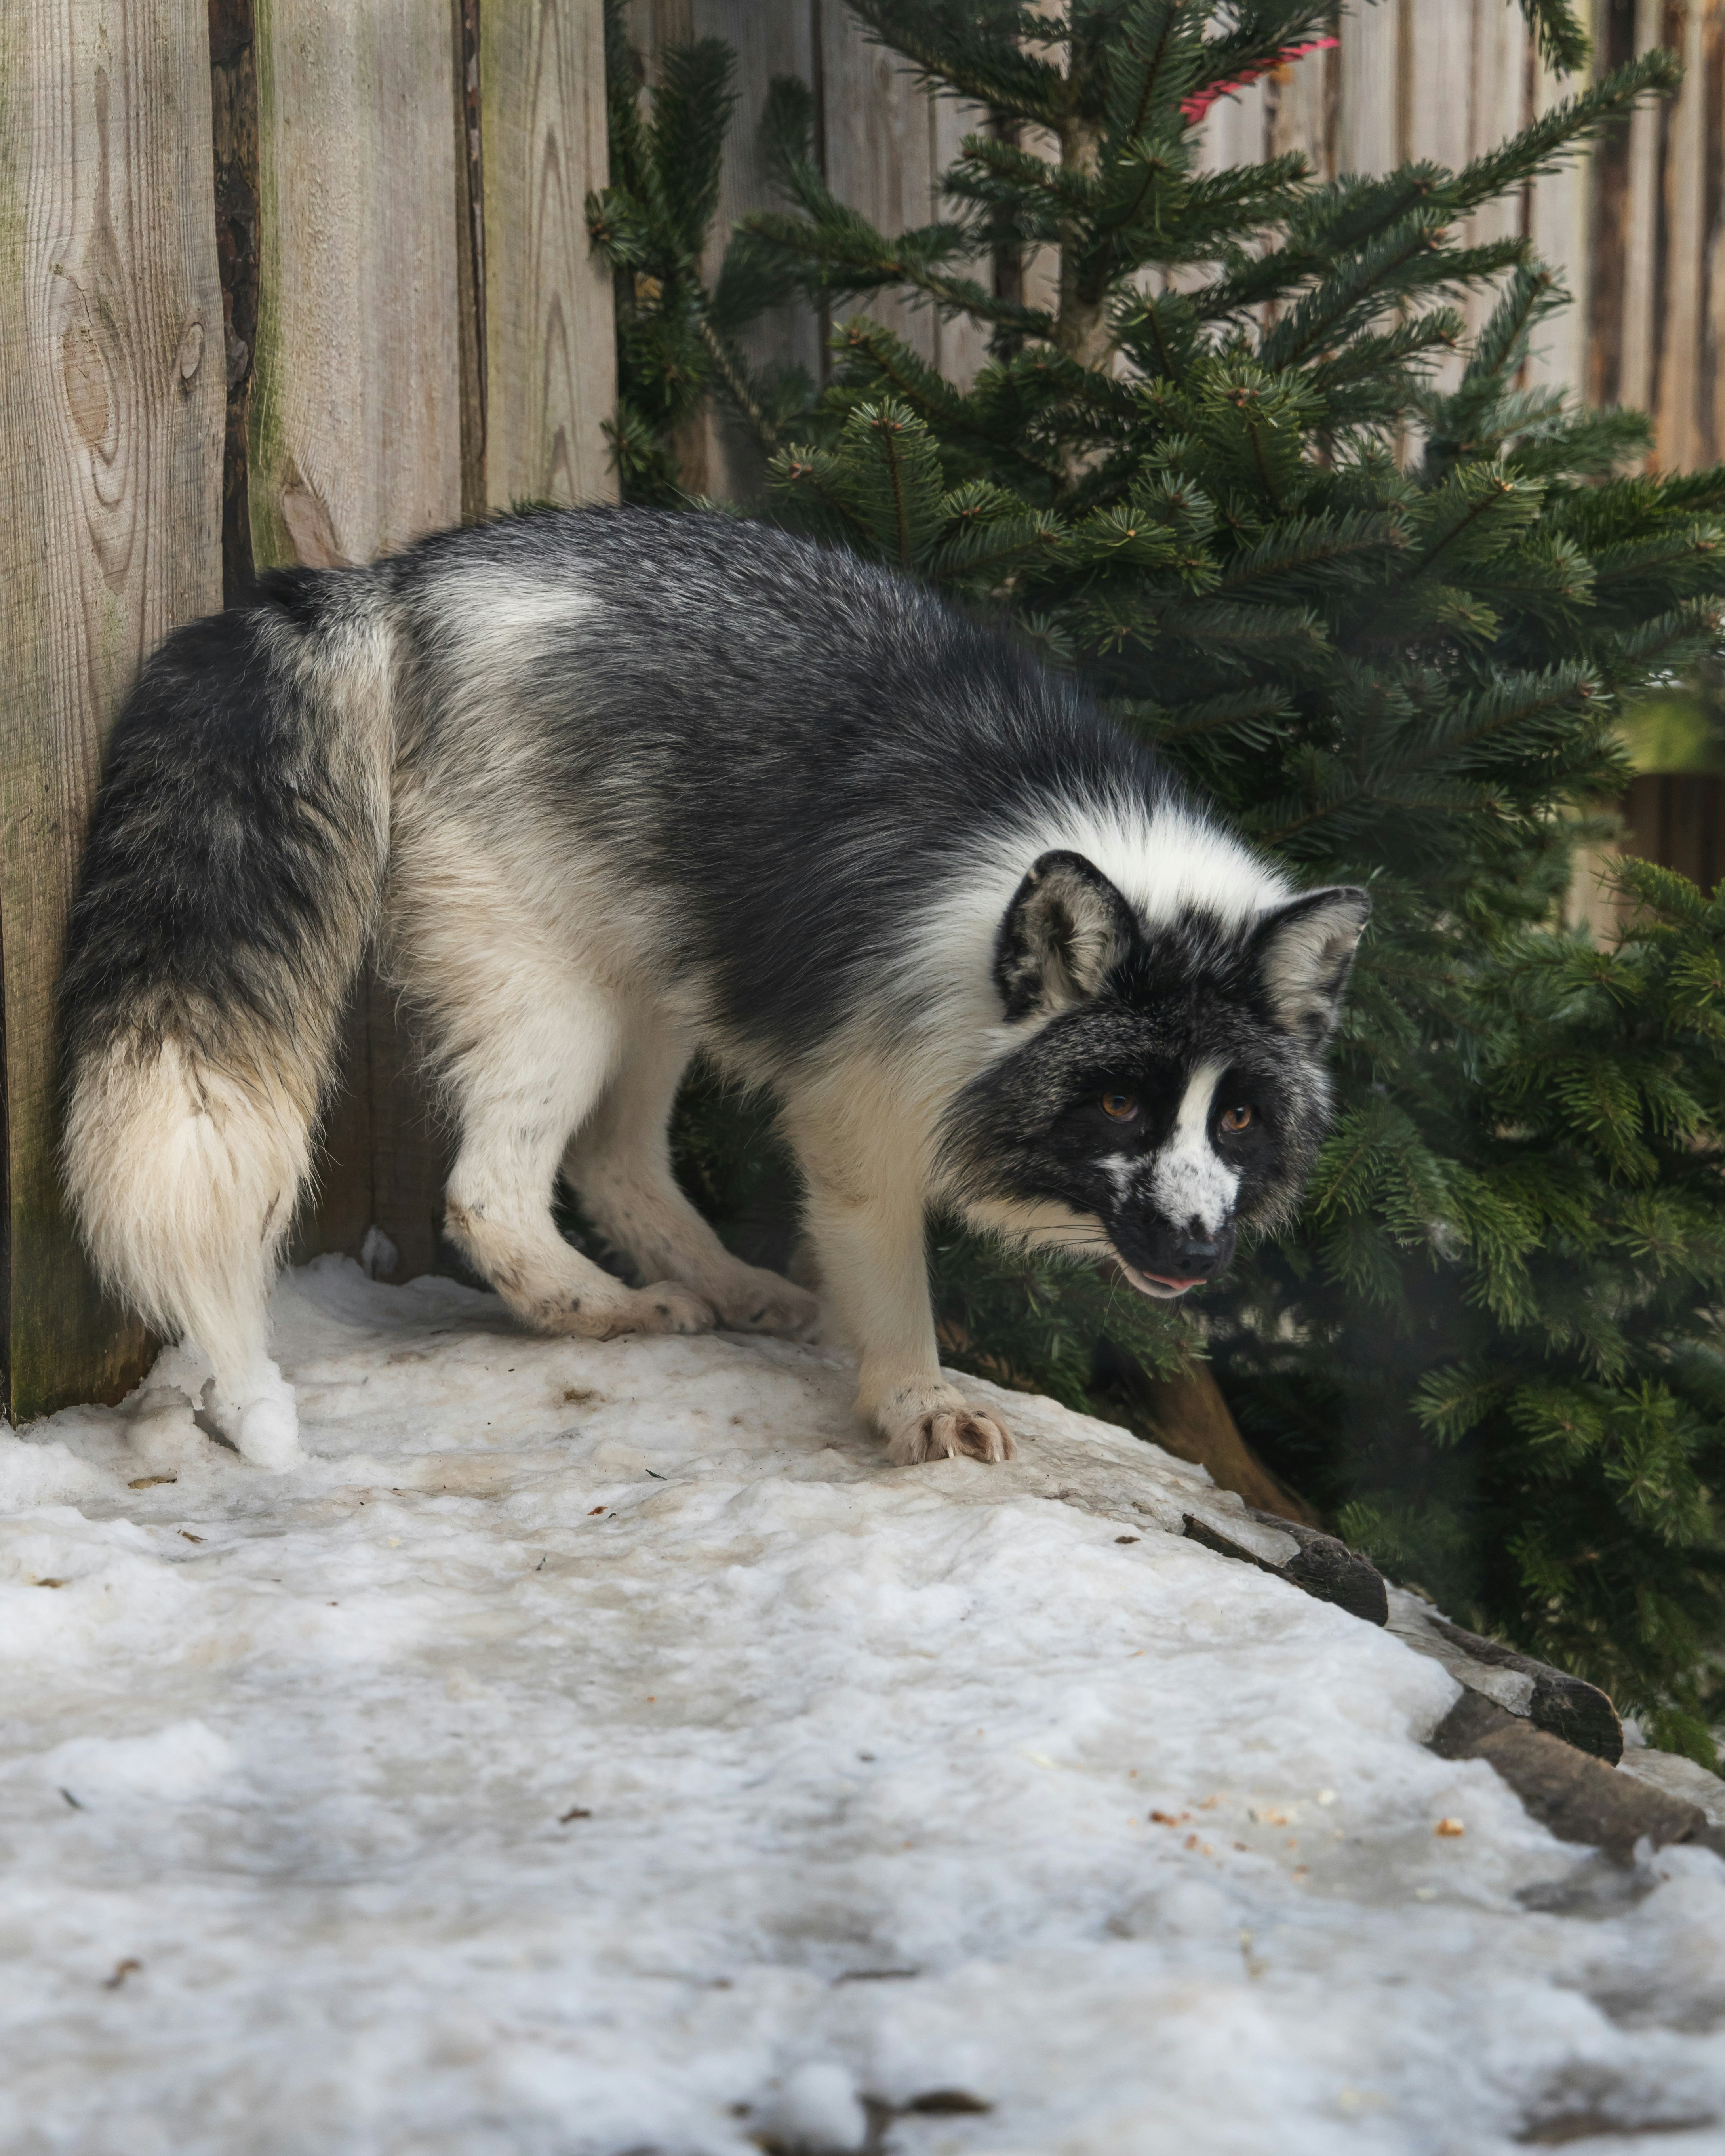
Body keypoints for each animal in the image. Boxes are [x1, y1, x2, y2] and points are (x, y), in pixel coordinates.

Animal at [59, 506, 1367, 1472]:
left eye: (1236, 1117)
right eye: (1119, 1105)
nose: (1197, 1247)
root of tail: (397, 581)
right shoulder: (854, 1116)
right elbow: (893, 1279)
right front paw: (916, 1402)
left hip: (655, 982)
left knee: (610, 1161)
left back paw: (725, 1285)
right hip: (562, 1002)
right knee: (490, 1193)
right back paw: (610, 1308)